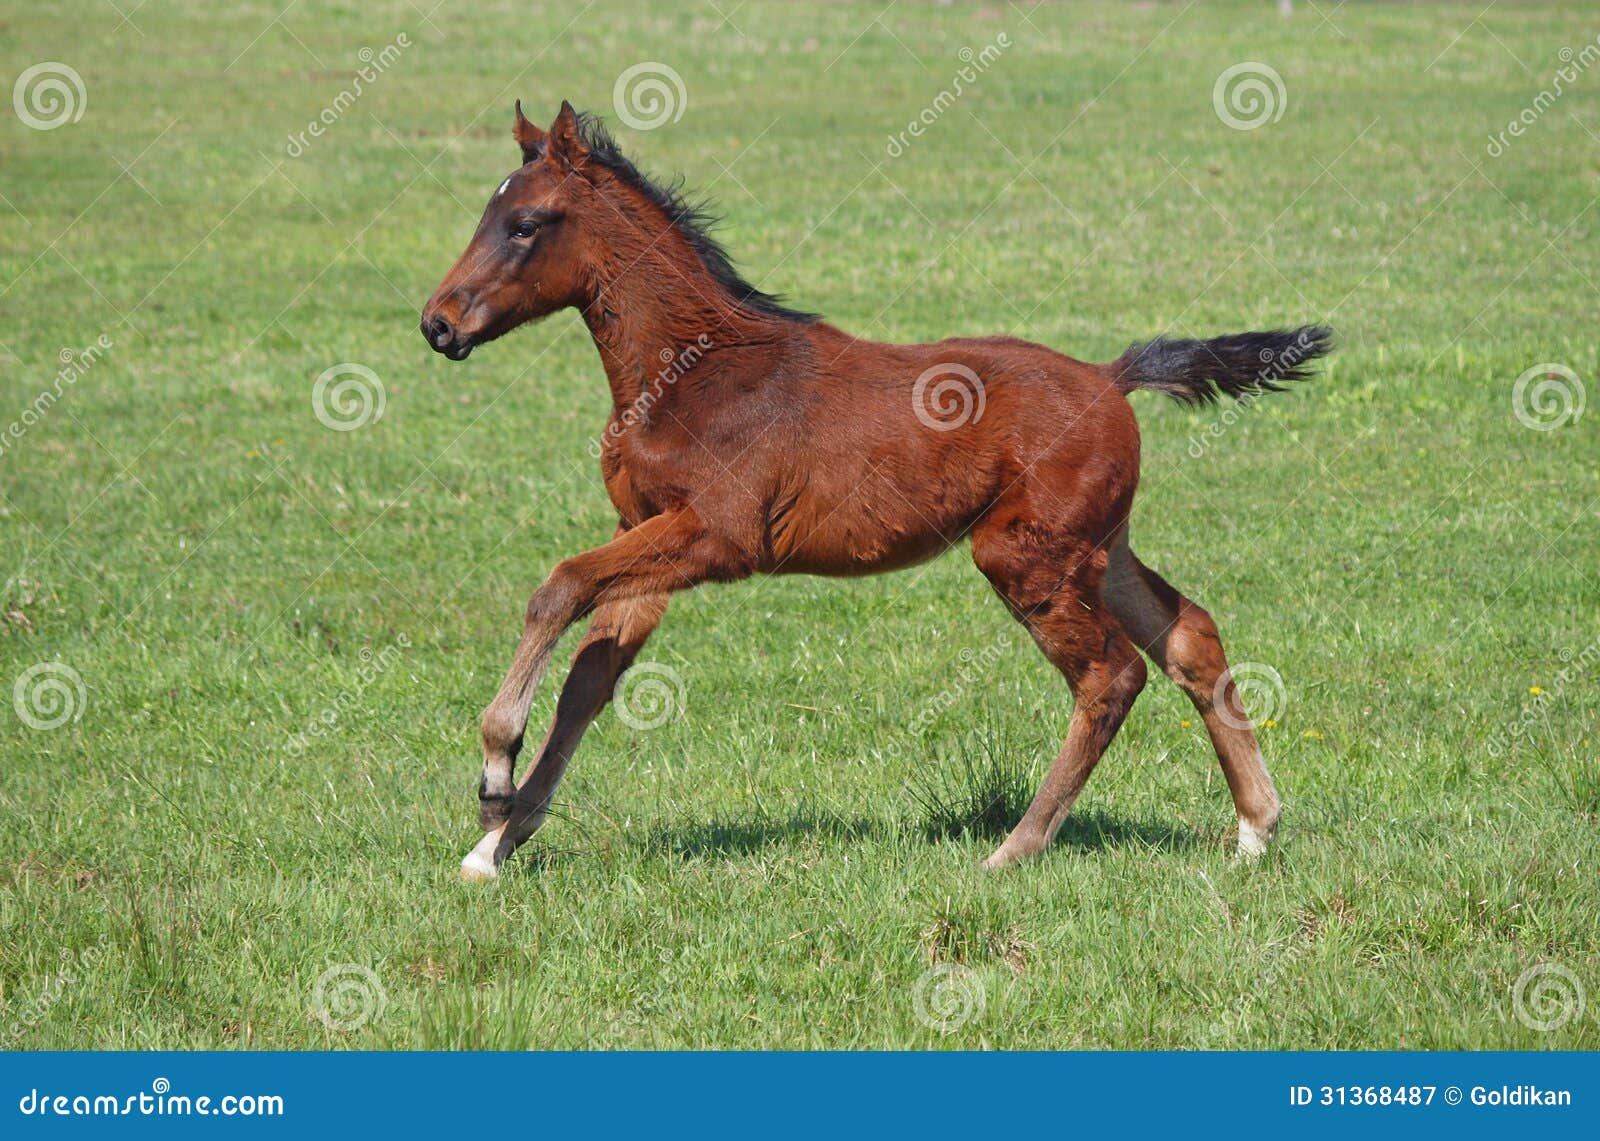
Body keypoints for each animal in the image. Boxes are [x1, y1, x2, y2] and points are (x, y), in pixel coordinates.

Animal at [421, 100, 1332, 880]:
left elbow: (558, 586)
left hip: (1023, 554)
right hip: (1098, 548)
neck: (693, 374)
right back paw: (1255, 827)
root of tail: (1111, 378)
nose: (438, 323)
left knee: (1111, 675)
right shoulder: (643, 532)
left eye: (525, 225)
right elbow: (588, 678)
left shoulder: (715, 535)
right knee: (1190, 638)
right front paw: (495, 845)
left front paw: (495, 774)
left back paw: (1017, 846)